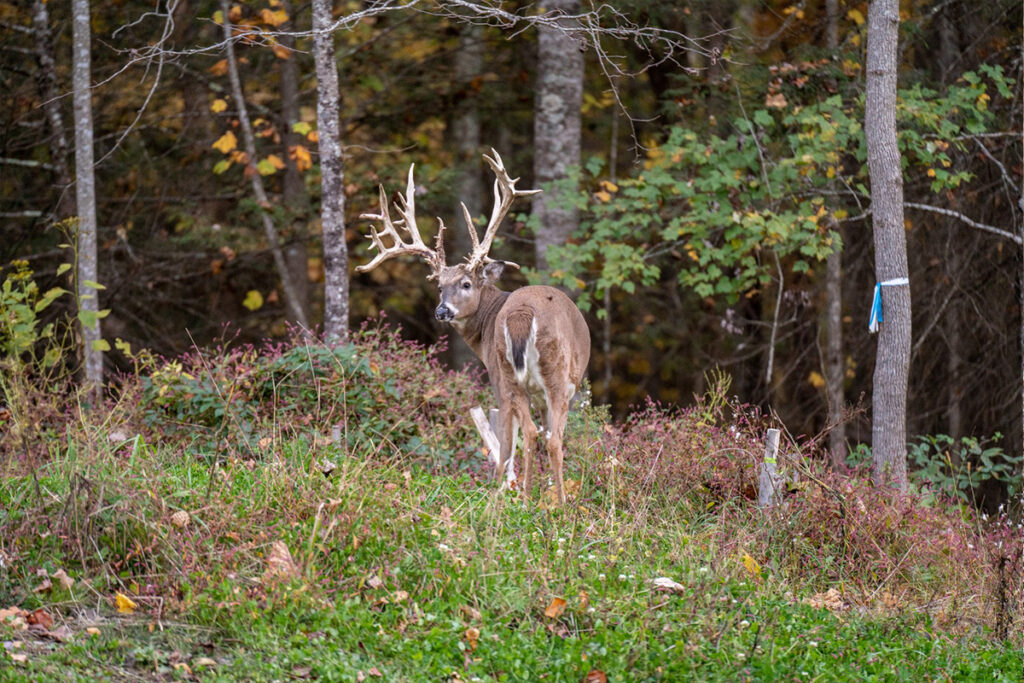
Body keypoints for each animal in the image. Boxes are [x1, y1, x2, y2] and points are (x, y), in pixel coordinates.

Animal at [355, 150, 590, 505]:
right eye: (439, 286)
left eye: (466, 284)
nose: (441, 311)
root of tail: (522, 312)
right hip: (535, 374)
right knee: (543, 437)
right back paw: (546, 502)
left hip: (516, 373)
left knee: (534, 436)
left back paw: (535, 500)